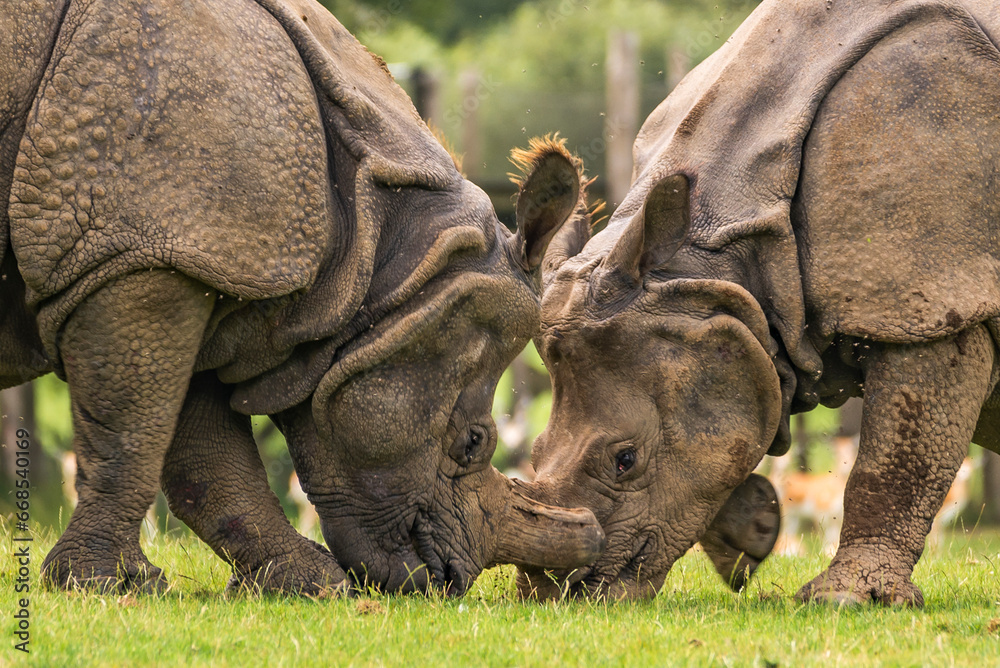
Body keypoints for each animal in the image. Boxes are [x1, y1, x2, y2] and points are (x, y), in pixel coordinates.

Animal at [0, 0, 604, 595]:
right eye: (474, 442)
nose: (447, 582)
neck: (388, 255)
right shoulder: (144, 252)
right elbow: (130, 428)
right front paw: (110, 585)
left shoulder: (203, 261)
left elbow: (203, 453)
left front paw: (308, 585)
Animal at [515, 0, 1000, 604]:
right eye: (532, 454)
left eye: (625, 461)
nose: (551, 593)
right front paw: (754, 537)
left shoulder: (931, 299)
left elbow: (898, 455)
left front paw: (844, 598)